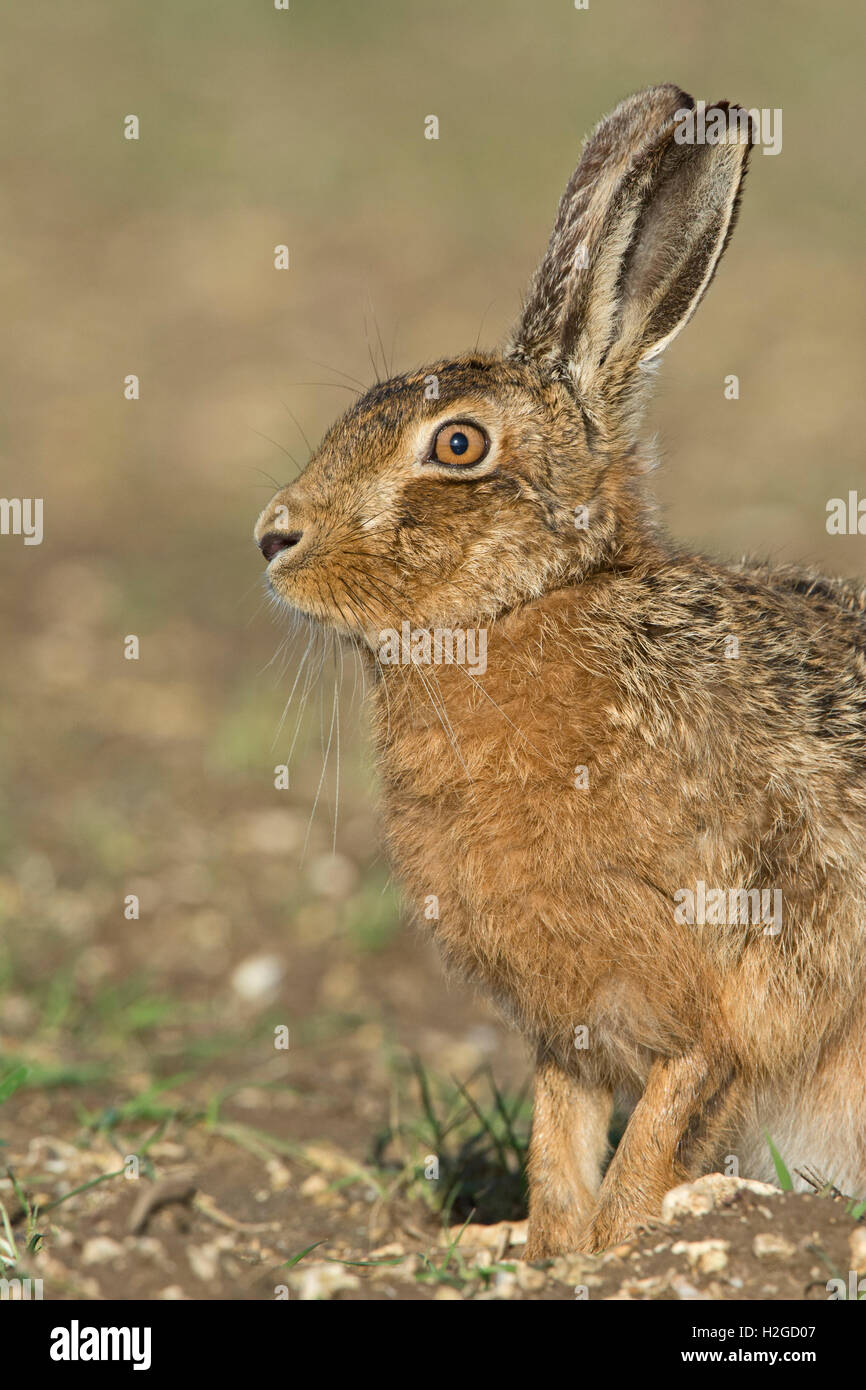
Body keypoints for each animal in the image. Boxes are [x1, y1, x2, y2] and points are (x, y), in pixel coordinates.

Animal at [254, 84, 866, 1256]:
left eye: (457, 446)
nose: (273, 538)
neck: (533, 608)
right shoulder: (564, 1021)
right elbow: (557, 1134)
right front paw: (535, 1248)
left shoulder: (727, 980)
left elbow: (661, 1118)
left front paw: (629, 1237)